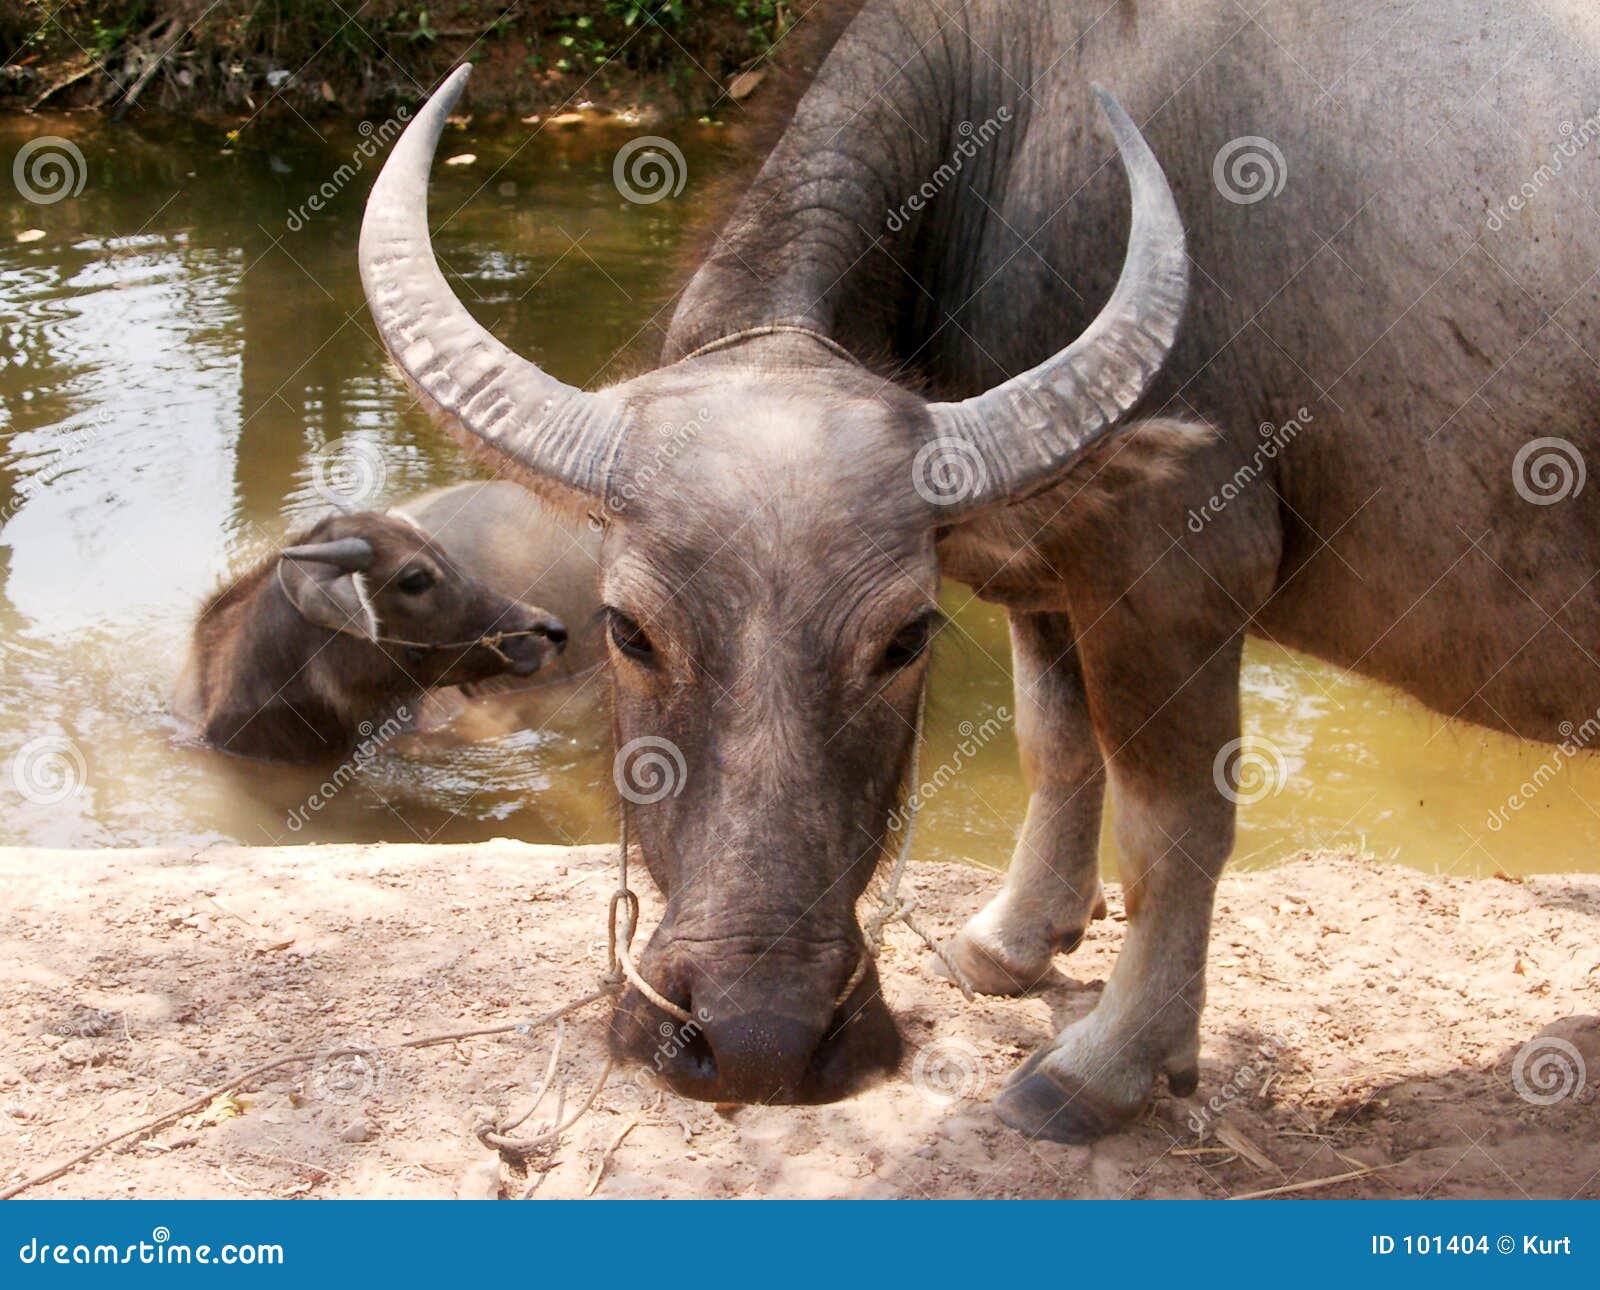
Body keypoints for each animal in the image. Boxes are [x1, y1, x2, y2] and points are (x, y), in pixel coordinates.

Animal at [357, 0, 1600, 1139]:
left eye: (903, 638)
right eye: (629, 630)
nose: (761, 1039)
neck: (1017, 104)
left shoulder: (1171, 563)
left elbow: (1174, 825)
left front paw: (1103, 1065)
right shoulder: (1052, 569)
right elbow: (1057, 747)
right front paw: (1013, 945)